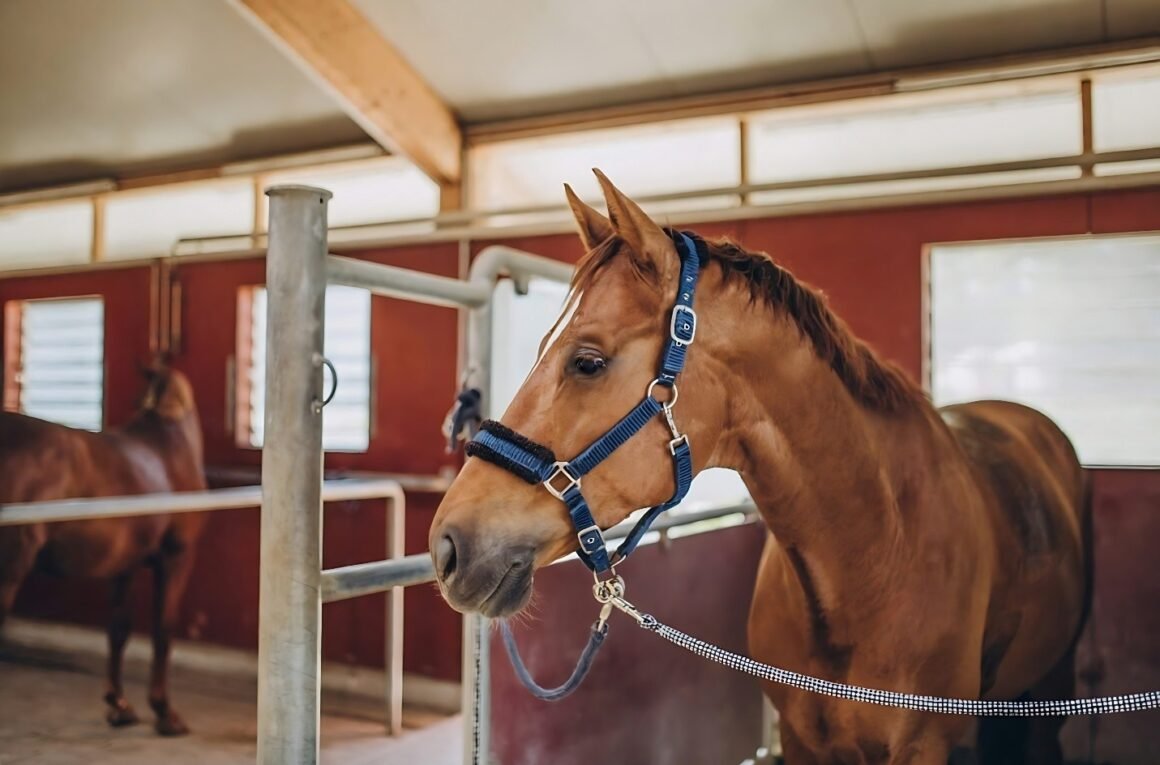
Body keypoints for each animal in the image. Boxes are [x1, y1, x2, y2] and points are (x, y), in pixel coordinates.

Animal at [0, 361, 207, 736]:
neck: (169, 445)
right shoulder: (176, 558)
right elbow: (163, 628)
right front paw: (165, 712)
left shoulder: (125, 564)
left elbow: (118, 629)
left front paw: (119, 705)